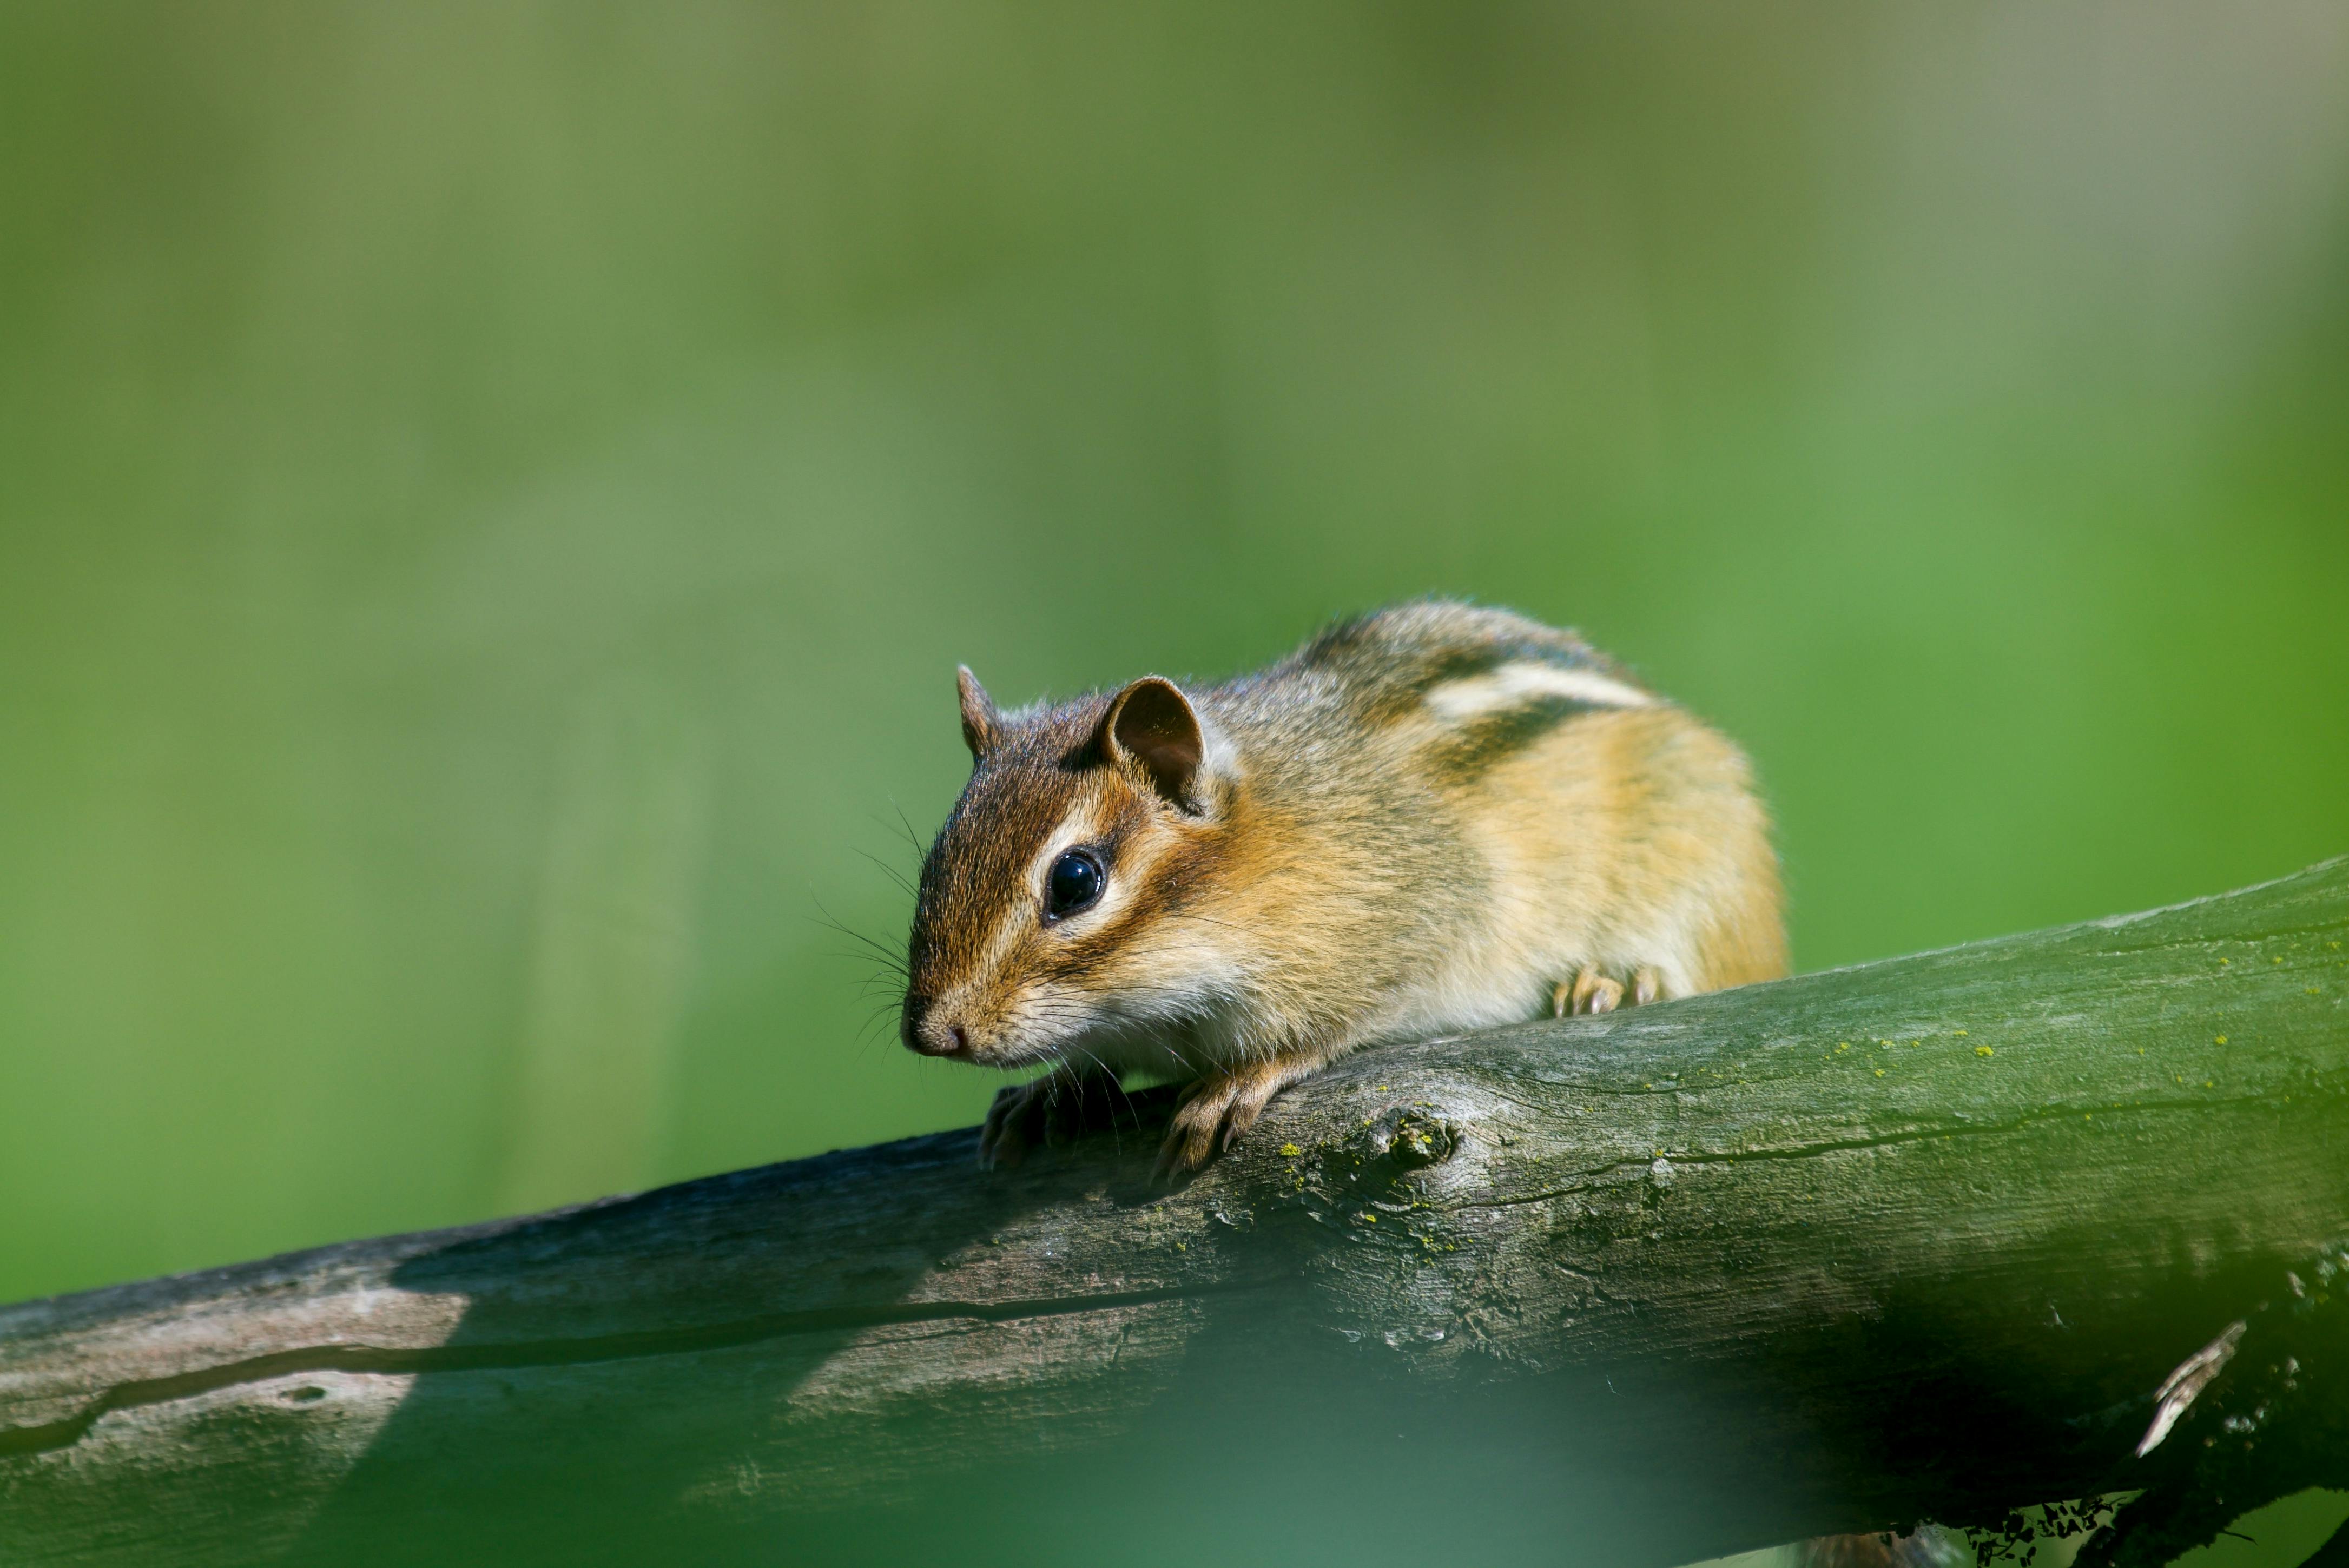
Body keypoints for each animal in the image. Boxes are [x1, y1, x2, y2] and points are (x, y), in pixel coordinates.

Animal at [900, 599, 1787, 1177]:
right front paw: (1055, 1091)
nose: (931, 1034)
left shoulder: (1427, 914)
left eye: (1076, 880)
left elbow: (1341, 1018)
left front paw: (1245, 1078)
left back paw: (1618, 979)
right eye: (935, 859)